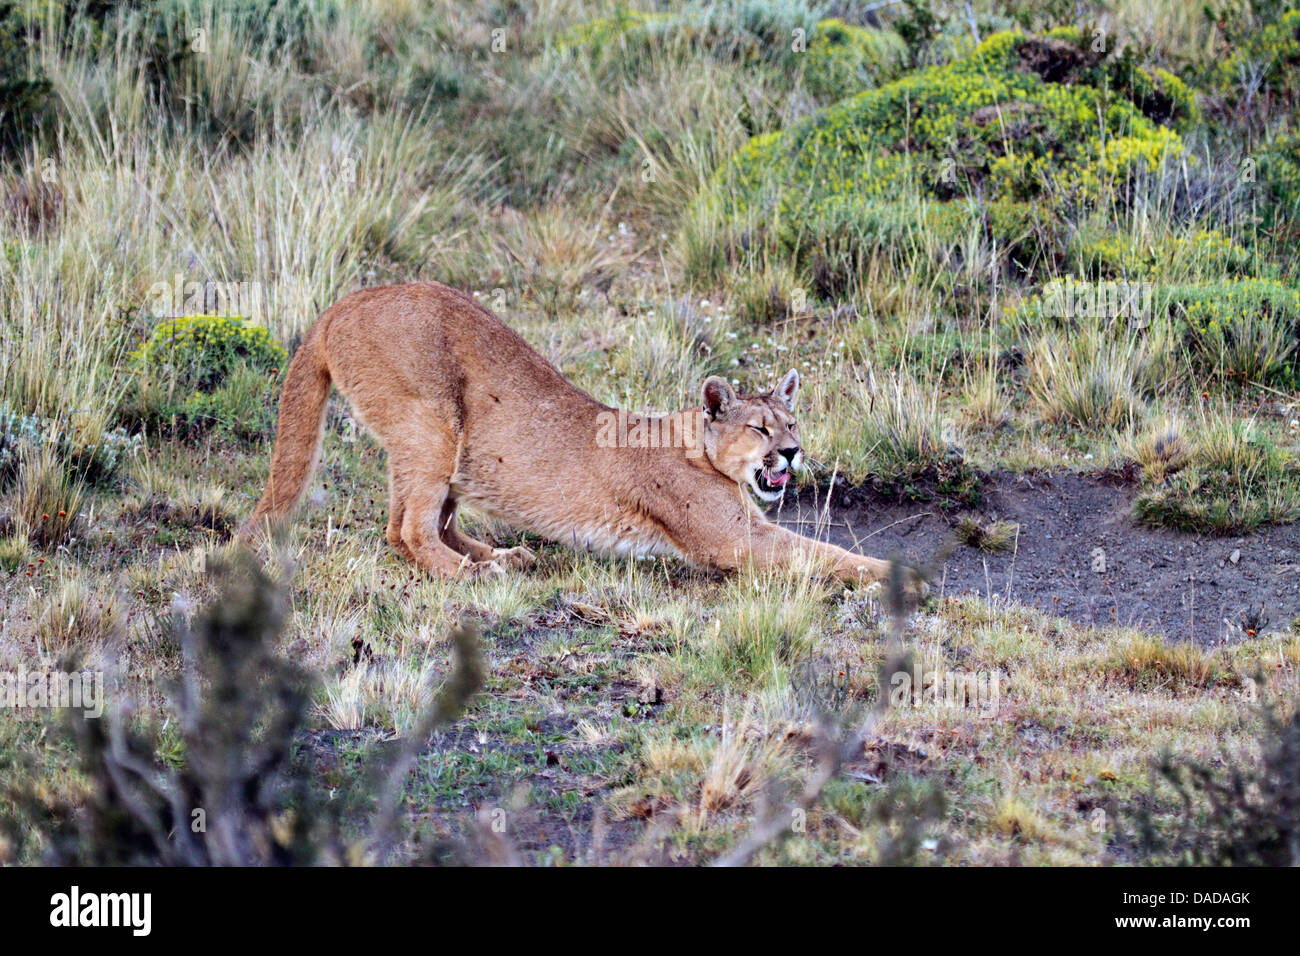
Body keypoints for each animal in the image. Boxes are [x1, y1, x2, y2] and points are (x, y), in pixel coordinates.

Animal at [239, 282, 914, 591]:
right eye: (759, 427)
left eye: (792, 422)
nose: (792, 452)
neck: (697, 447)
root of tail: (343, 303)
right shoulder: (735, 538)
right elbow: (823, 553)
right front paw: (897, 572)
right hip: (433, 424)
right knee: (406, 530)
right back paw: (473, 574)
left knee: (416, 521)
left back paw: (501, 556)